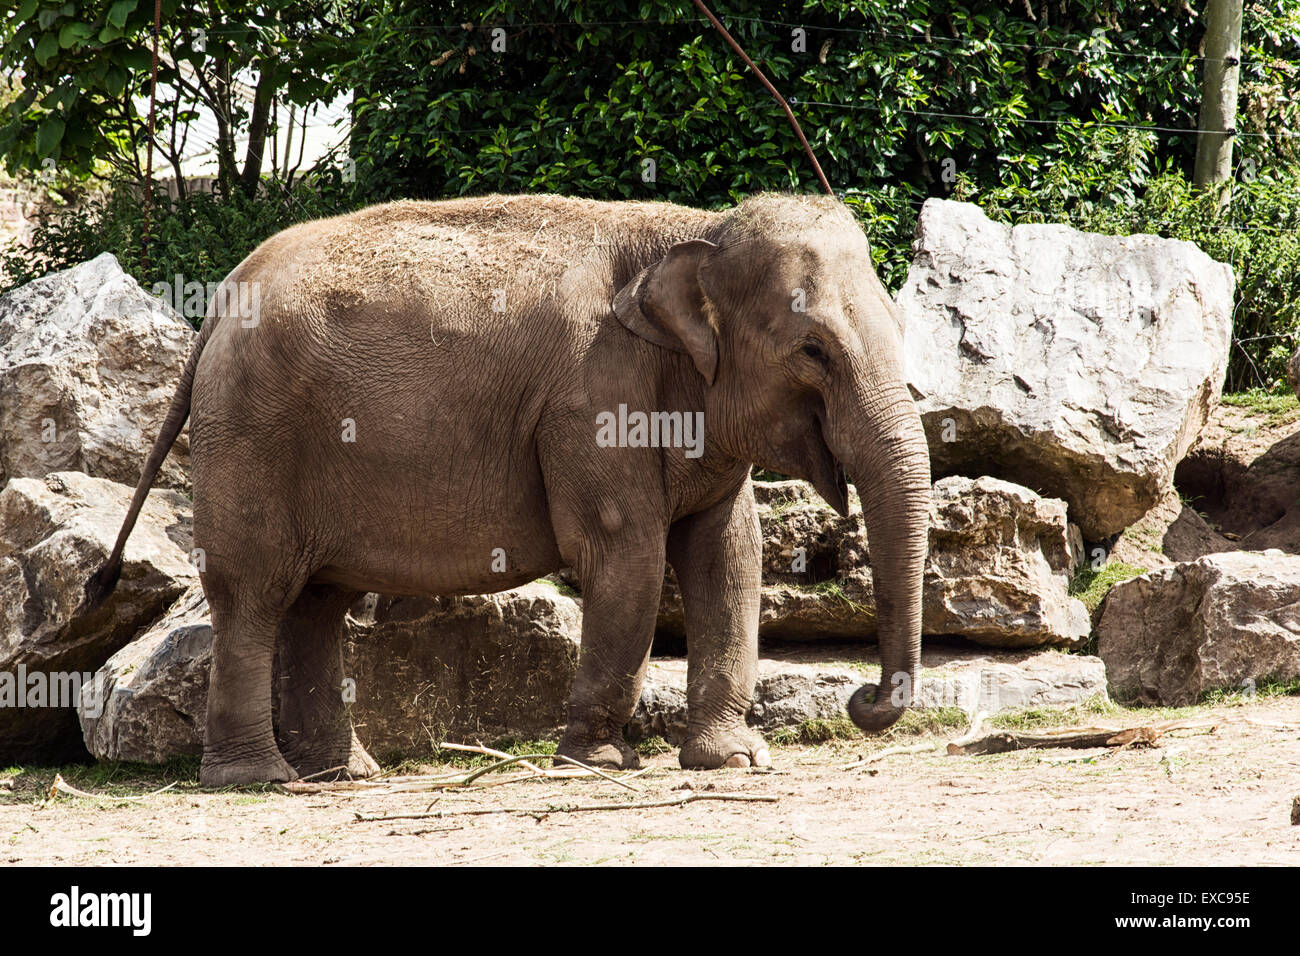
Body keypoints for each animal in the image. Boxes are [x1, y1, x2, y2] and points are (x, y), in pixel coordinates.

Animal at [84, 192, 932, 786]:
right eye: (814, 351)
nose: (864, 702)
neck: (695, 231)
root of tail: (219, 306)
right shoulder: (591, 401)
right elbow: (626, 553)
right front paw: (599, 765)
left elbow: (728, 557)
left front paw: (732, 763)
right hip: (251, 434)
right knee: (255, 591)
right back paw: (258, 778)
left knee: (314, 601)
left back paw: (340, 774)